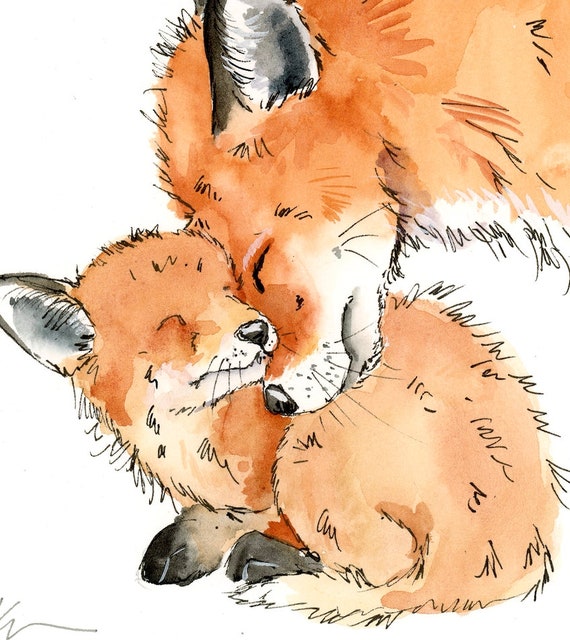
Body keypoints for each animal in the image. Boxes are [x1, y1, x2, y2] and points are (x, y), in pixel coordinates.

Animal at [0, 227, 561, 622]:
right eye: (174, 324)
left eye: (229, 294)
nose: (256, 329)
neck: (198, 443)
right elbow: (217, 514)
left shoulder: (272, 480)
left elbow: (254, 522)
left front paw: (228, 543)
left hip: (307, 448)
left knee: (386, 567)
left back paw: (264, 561)